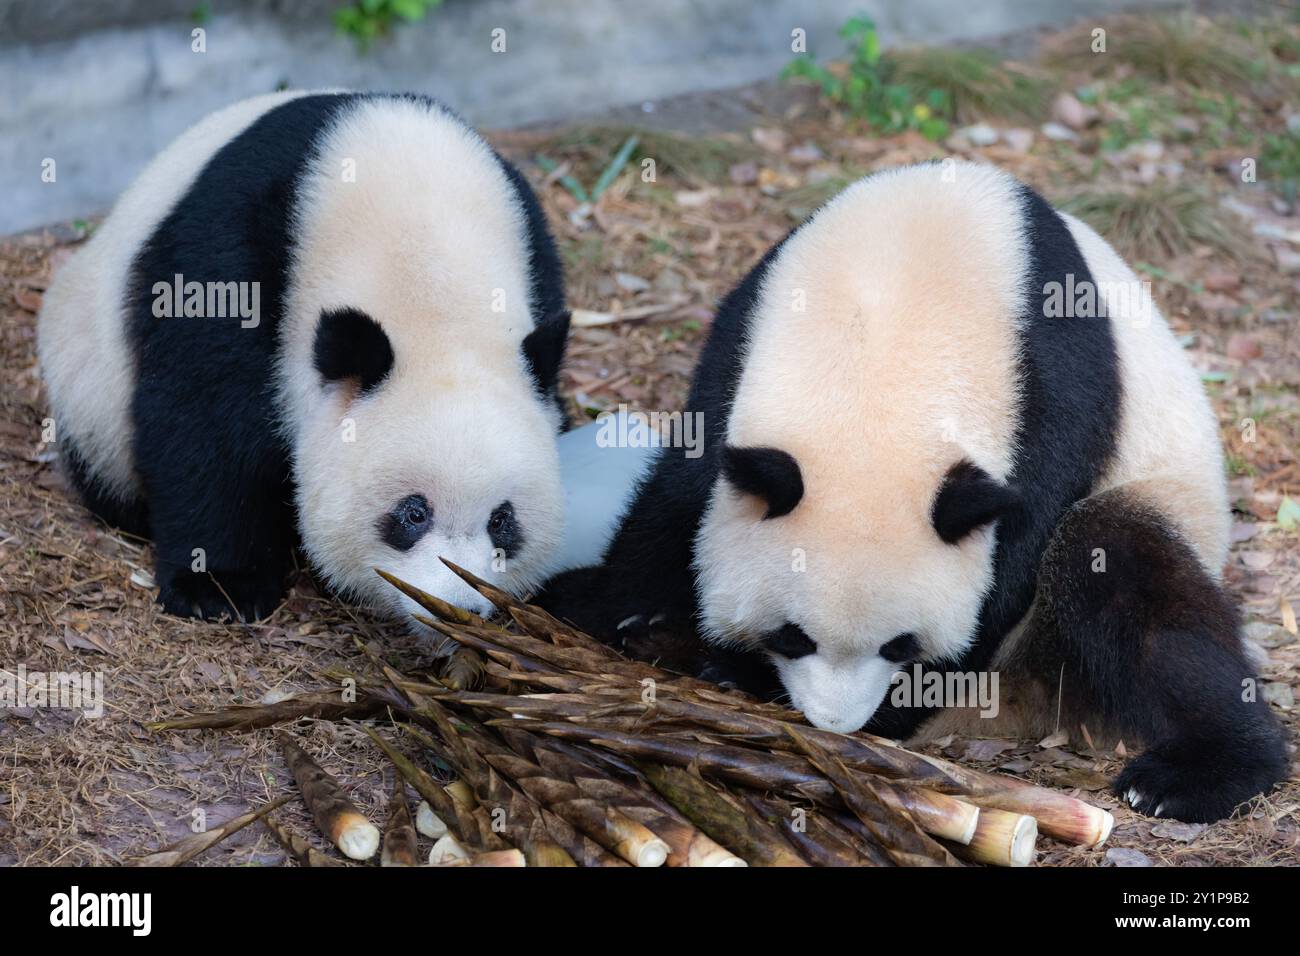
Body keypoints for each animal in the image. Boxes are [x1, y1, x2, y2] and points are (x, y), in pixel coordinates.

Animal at [38, 91, 572, 625]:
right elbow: (203, 420)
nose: (458, 608)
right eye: (413, 513)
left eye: (502, 521)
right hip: (88, 380)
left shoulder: (535, 257)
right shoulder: (230, 260)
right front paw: (220, 586)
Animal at [538, 161, 1288, 824]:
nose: (837, 721)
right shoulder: (746, 328)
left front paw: (882, 703)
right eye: (791, 635)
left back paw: (1194, 774)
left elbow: (1016, 550)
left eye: (900, 647)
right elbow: (686, 483)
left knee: (1128, 574)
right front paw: (602, 604)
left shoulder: (1058, 384)